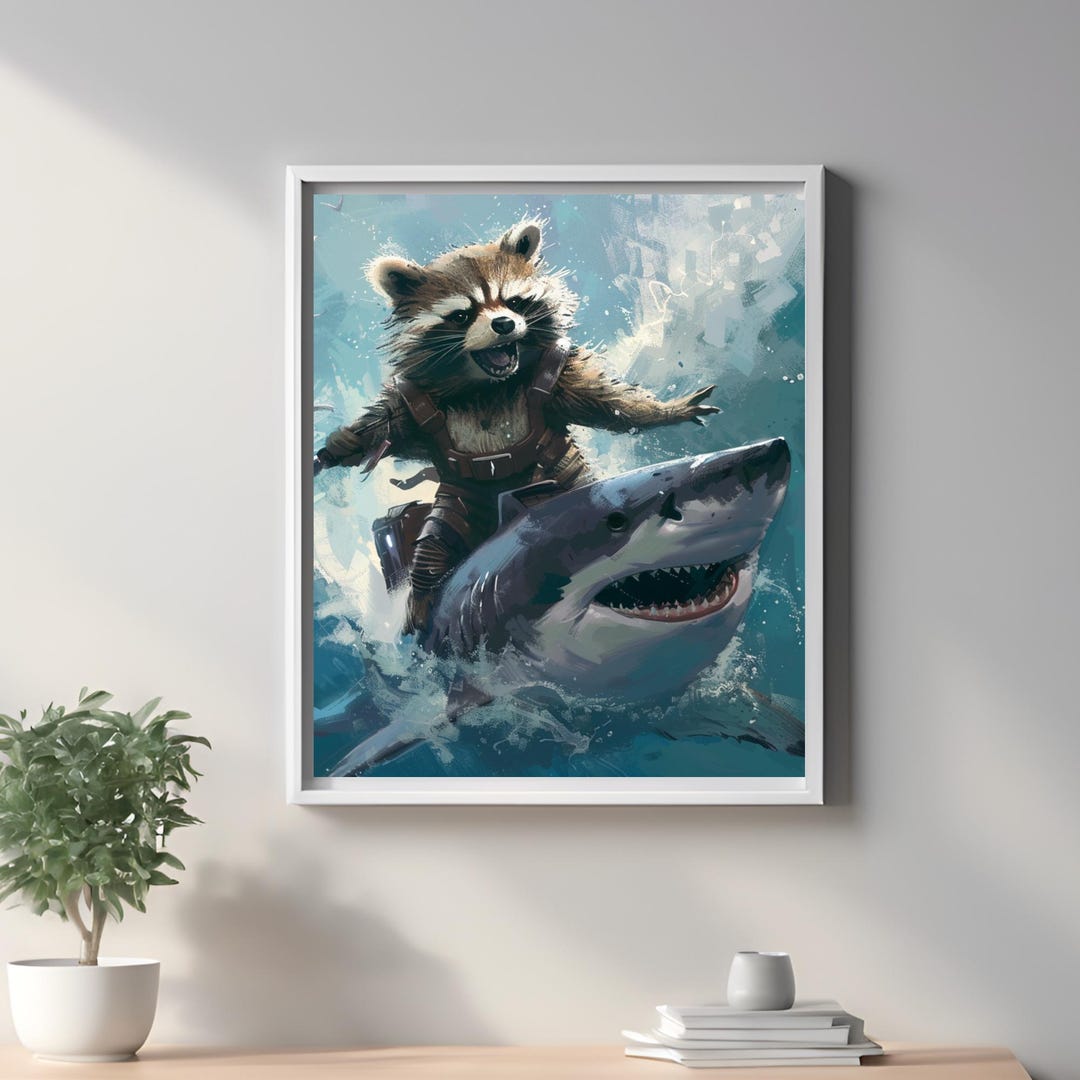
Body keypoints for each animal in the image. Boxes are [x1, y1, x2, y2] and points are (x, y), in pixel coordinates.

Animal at [316, 220, 719, 635]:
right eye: (461, 315)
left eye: (512, 302)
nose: (504, 323)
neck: (488, 384)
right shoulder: (415, 403)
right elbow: (386, 428)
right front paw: (343, 445)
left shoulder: (557, 376)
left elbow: (610, 406)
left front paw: (664, 411)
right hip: (459, 505)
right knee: (431, 555)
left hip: (566, 480)